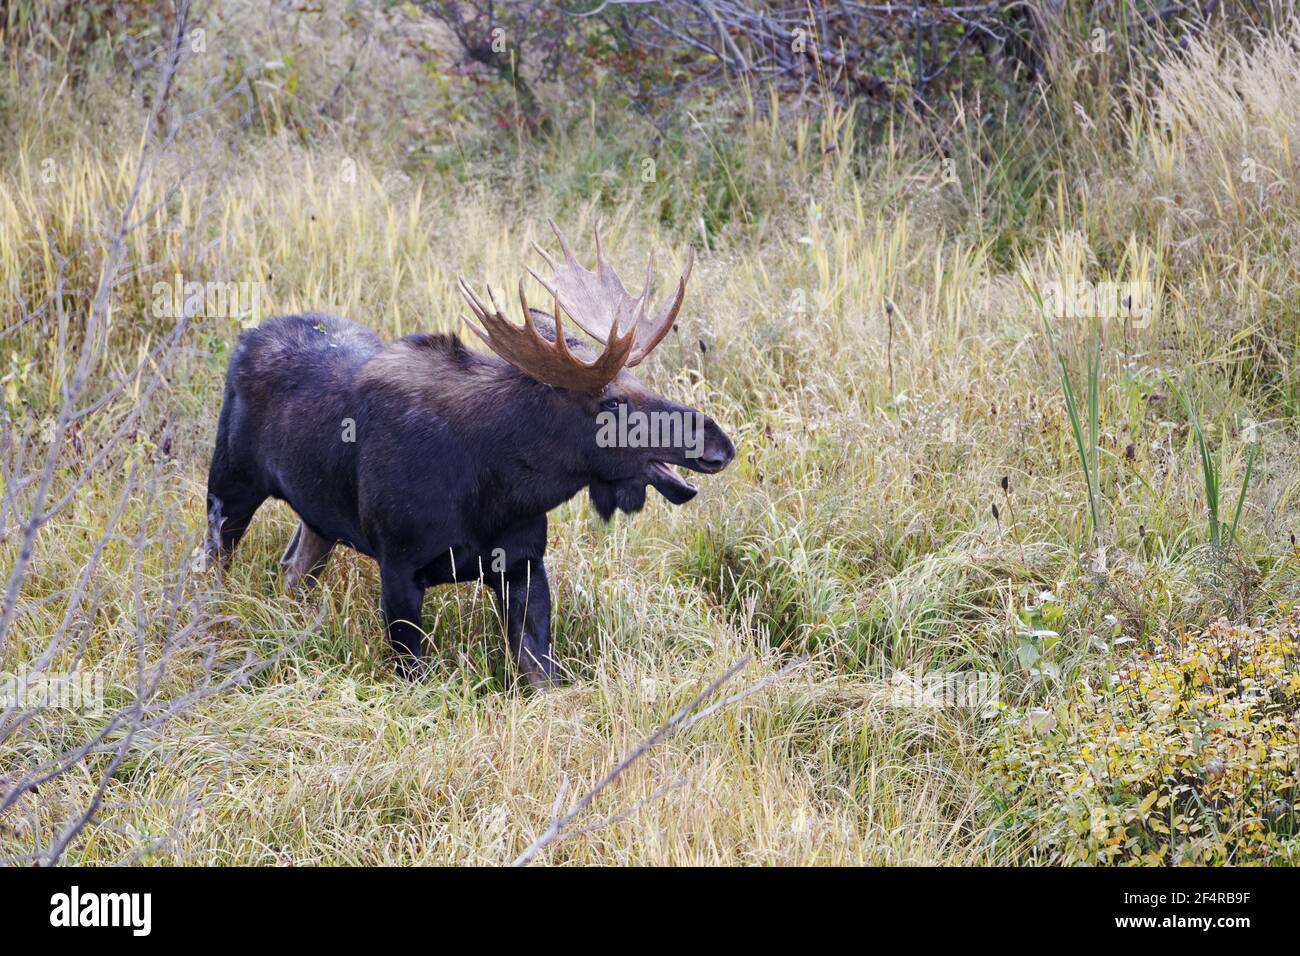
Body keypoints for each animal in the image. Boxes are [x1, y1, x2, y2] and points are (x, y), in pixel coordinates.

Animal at [203, 223, 735, 685]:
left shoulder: (523, 563)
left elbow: (540, 673)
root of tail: (245, 339)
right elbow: (414, 673)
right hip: (229, 485)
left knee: (293, 570)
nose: (719, 443)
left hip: (319, 517)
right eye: (611, 402)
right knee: (213, 561)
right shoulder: (398, 566)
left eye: (639, 379)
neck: (495, 491)